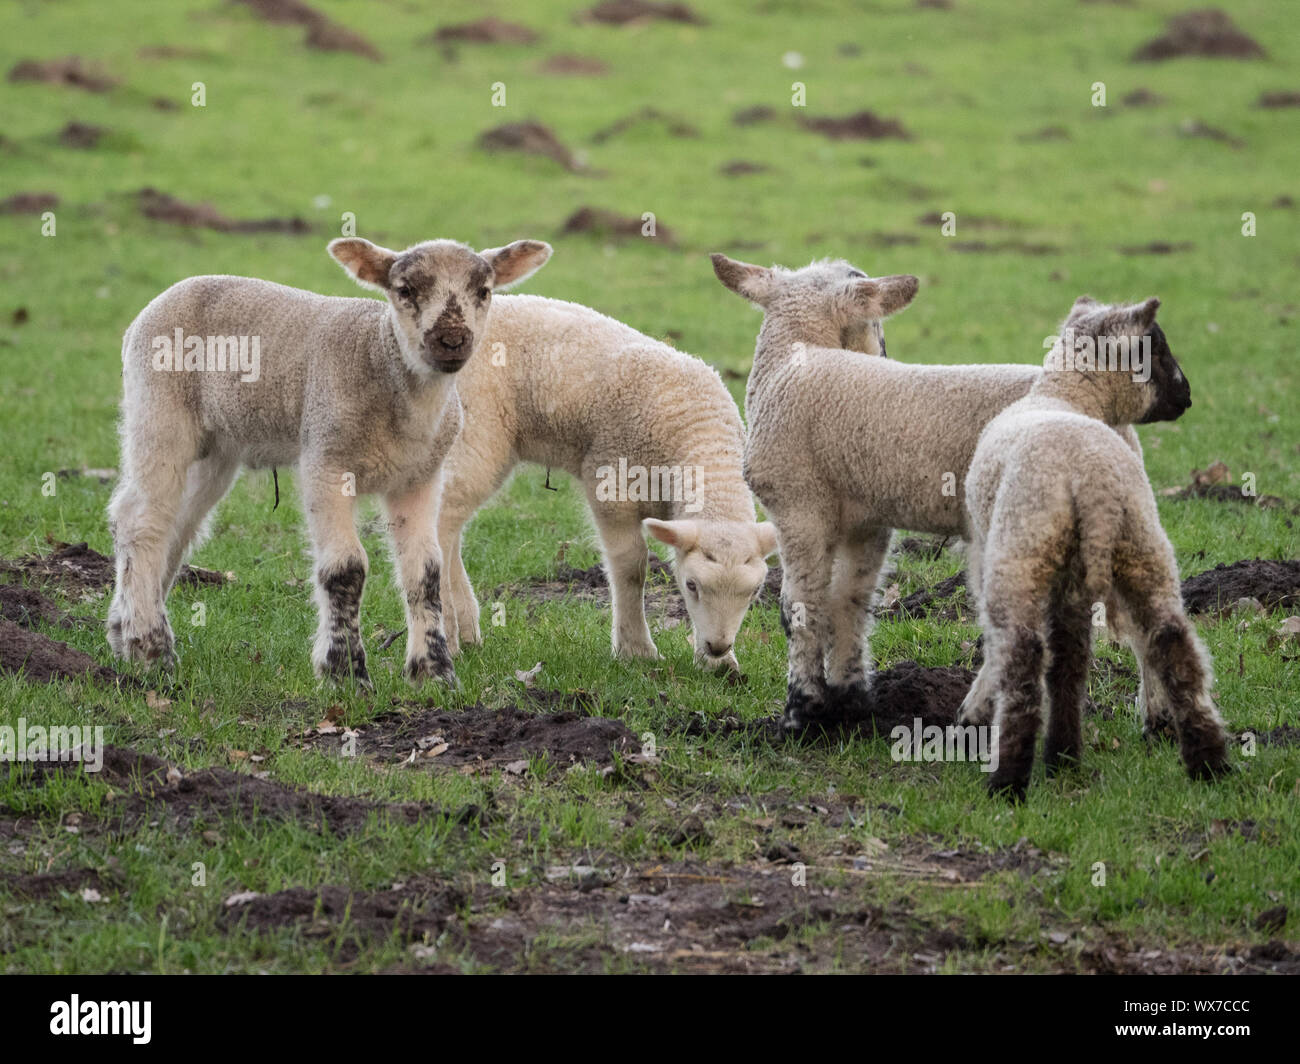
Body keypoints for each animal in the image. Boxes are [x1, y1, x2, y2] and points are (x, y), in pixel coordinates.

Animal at [107, 235, 552, 689]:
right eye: (404, 289)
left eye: (484, 291)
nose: (451, 339)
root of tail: (153, 306)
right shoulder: (326, 459)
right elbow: (346, 569)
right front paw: (345, 673)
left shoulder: (420, 475)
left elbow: (425, 571)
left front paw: (434, 673)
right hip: (159, 410)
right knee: (142, 520)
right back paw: (151, 648)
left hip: (217, 445)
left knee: (173, 525)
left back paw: (124, 632)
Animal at [436, 294, 778, 672]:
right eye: (691, 585)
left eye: (755, 592)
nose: (717, 647)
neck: (701, 435)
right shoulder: (612, 479)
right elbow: (631, 567)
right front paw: (636, 649)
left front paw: (723, 666)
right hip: (474, 430)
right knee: (442, 521)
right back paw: (447, 637)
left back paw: (467, 630)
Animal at [710, 253, 1160, 733]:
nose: (885, 355)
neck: (791, 362)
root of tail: (1114, 426)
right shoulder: (867, 519)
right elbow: (851, 601)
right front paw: (851, 701)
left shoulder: (799, 505)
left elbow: (800, 607)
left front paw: (801, 711)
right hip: (1123, 511)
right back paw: (1157, 718)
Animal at [959, 296, 1230, 799]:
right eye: (1155, 349)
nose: (1186, 397)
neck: (1066, 395)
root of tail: (1091, 482)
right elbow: (1072, 658)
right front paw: (1064, 753)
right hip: (1143, 544)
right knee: (1169, 640)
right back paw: (1208, 762)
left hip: (1019, 551)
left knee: (1023, 654)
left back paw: (1007, 781)